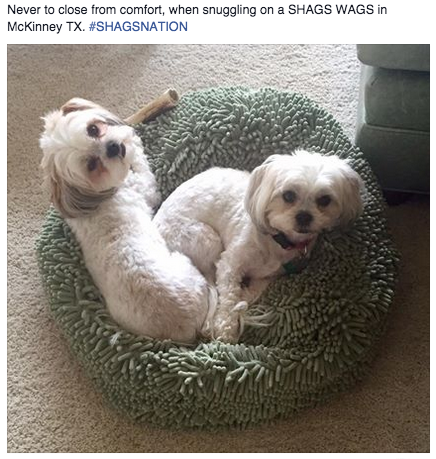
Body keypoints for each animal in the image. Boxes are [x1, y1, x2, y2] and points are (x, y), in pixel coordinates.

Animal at [40, 98, 216, 344]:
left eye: (93, 129)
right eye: (92, 165)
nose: (113, 147)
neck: (95, 198)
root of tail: (185, 329)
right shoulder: (143, 187)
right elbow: (142, 167)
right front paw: (134, 142)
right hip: (185, 265)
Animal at [154, 151, 365, 343]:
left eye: (324, 200)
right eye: (288, 195)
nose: (304, 216)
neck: (277, 240)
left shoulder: (268, 277)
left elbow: (250, 293)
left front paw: (240, 302)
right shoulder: (229, 265)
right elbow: (228, 294)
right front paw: (225, 328)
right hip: (205, 238)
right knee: (210, 278)